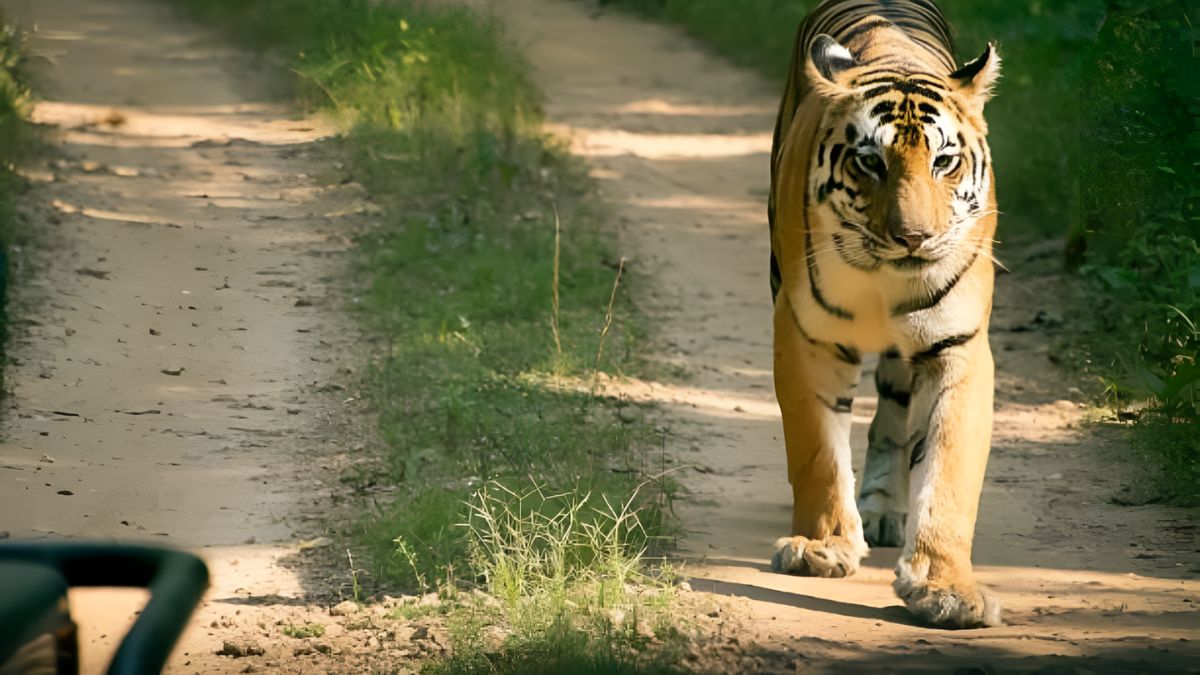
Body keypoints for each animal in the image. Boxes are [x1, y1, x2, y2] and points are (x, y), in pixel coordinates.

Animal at [766, 0, 1002, 629]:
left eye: (945, 161)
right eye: (870, 162)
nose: (913, 238)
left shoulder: (959, 347)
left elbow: (949, 473)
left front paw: (947, 588)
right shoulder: (805, 334)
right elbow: (817, 450)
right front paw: (821, 548)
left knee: (894, 423)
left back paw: (883, 508)